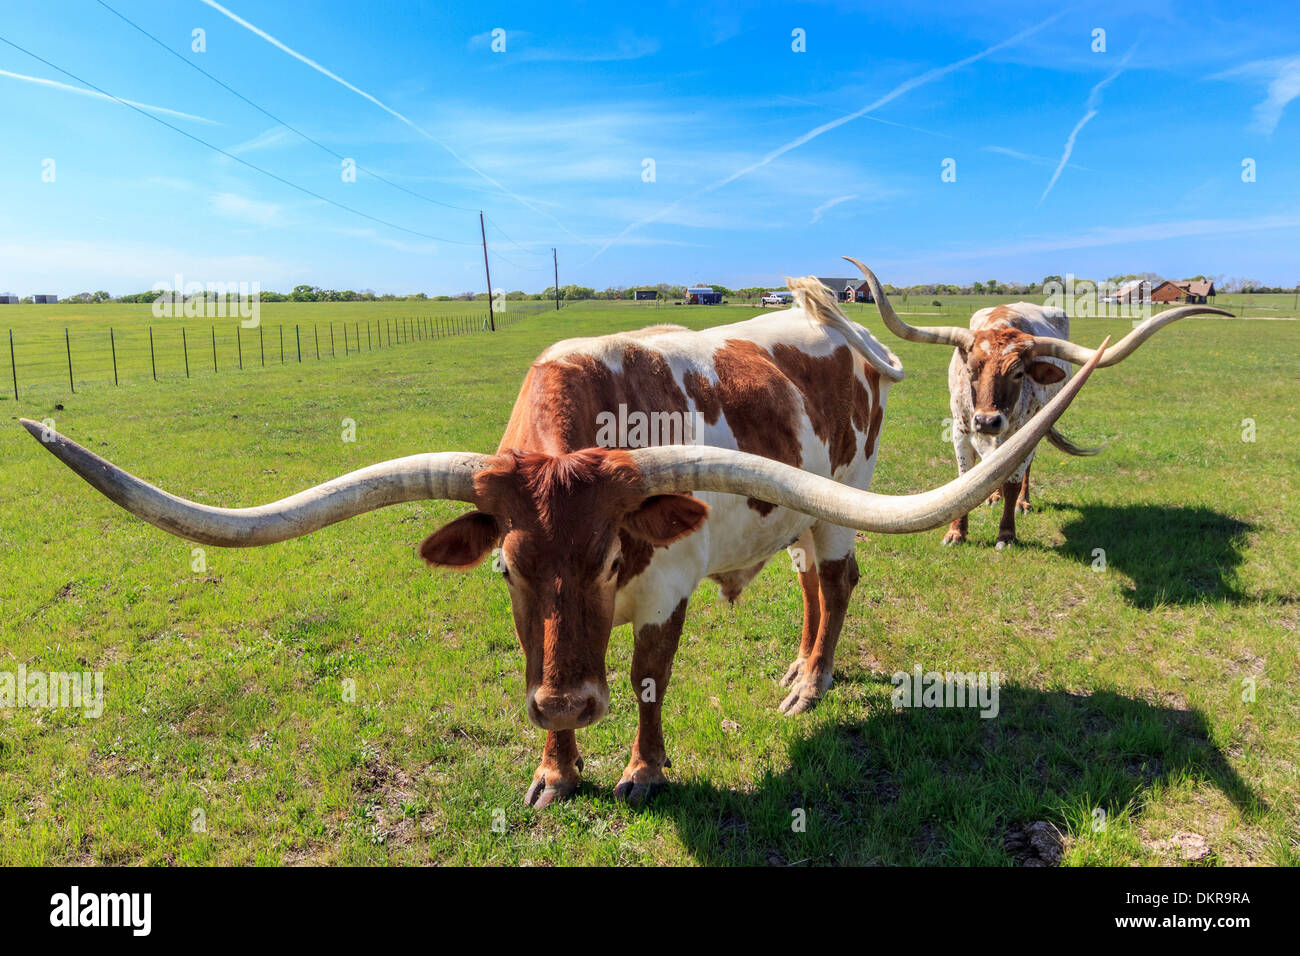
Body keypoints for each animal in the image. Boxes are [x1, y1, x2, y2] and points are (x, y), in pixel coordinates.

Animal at [21, 266, 1106, 807]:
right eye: (506, 564)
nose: (567, 700)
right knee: (808, 584)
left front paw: (641, 768)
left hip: (843, 495)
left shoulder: (663, 587)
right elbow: (544, 689)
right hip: (796, 510)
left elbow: (647, 678)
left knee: (836, 585)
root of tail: (850, 336)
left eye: (614, 554)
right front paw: (555, 767)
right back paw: (800, 668)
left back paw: (811, 682)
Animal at [848, 257, 1232, 549]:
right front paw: (957, 532)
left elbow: (1013, 477)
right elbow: (964, 478)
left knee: (1025, 469)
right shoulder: (959, 428)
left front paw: (1006, 533)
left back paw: (1022, 502)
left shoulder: (1024, 429)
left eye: (1019, 373)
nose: (987, 421)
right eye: (971, 369)